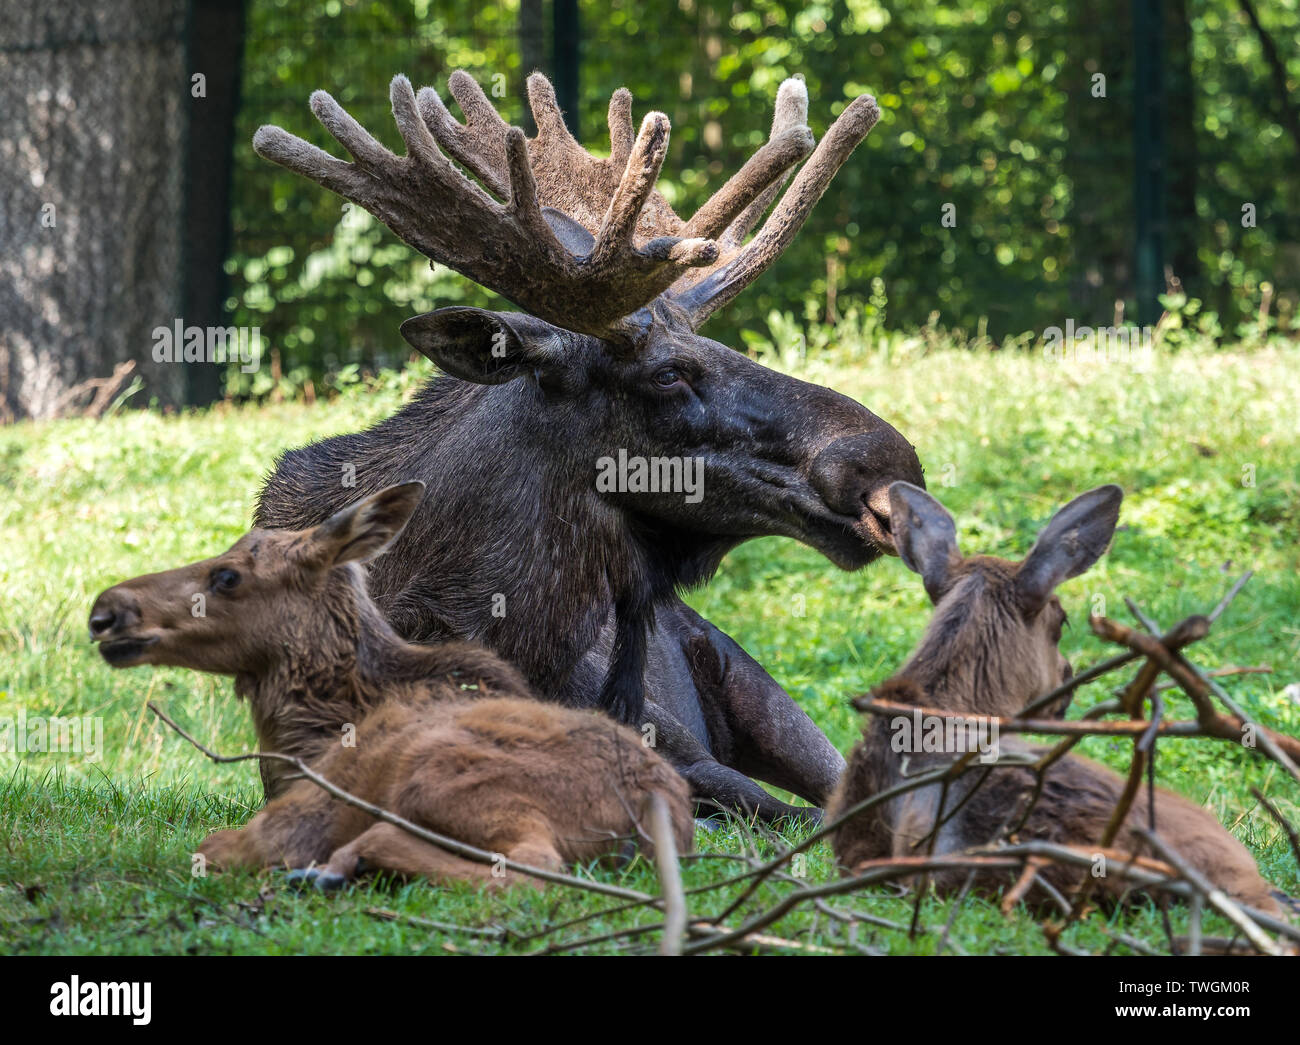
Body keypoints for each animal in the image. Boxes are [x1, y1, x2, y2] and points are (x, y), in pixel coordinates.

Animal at [87, 482, 694, 889]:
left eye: (228, 575)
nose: (106, 611)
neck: (311, 737)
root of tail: (658, 820)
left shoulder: (298, 813)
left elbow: (212, 845)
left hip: (443, 778)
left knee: (531, 865)